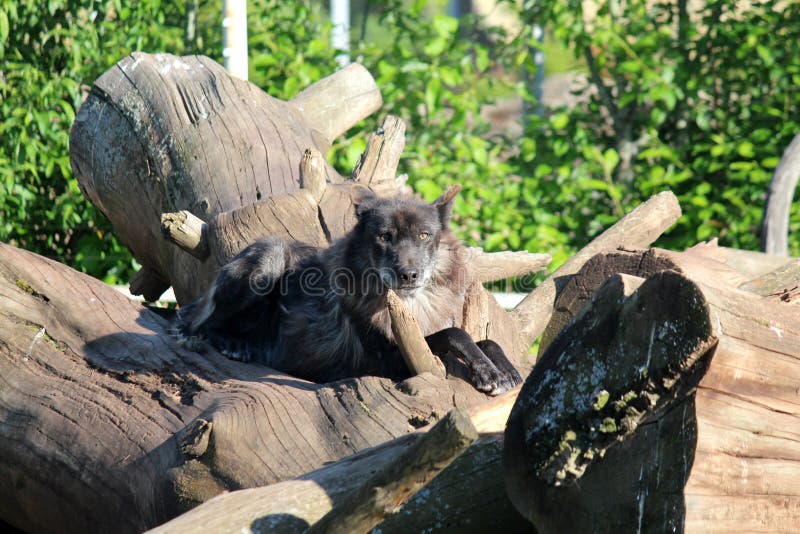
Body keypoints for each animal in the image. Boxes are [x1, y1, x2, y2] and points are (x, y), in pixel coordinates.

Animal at [173, 185, 522, 395]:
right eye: (384, 236)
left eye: (424, 235)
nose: (408, 275)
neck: (411, 303)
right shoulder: (384, 361)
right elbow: (455, 334)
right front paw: (489, 373)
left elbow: (485, 339)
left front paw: (505, 369)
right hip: (270, 255)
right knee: (199, 323)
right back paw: (233, 344)